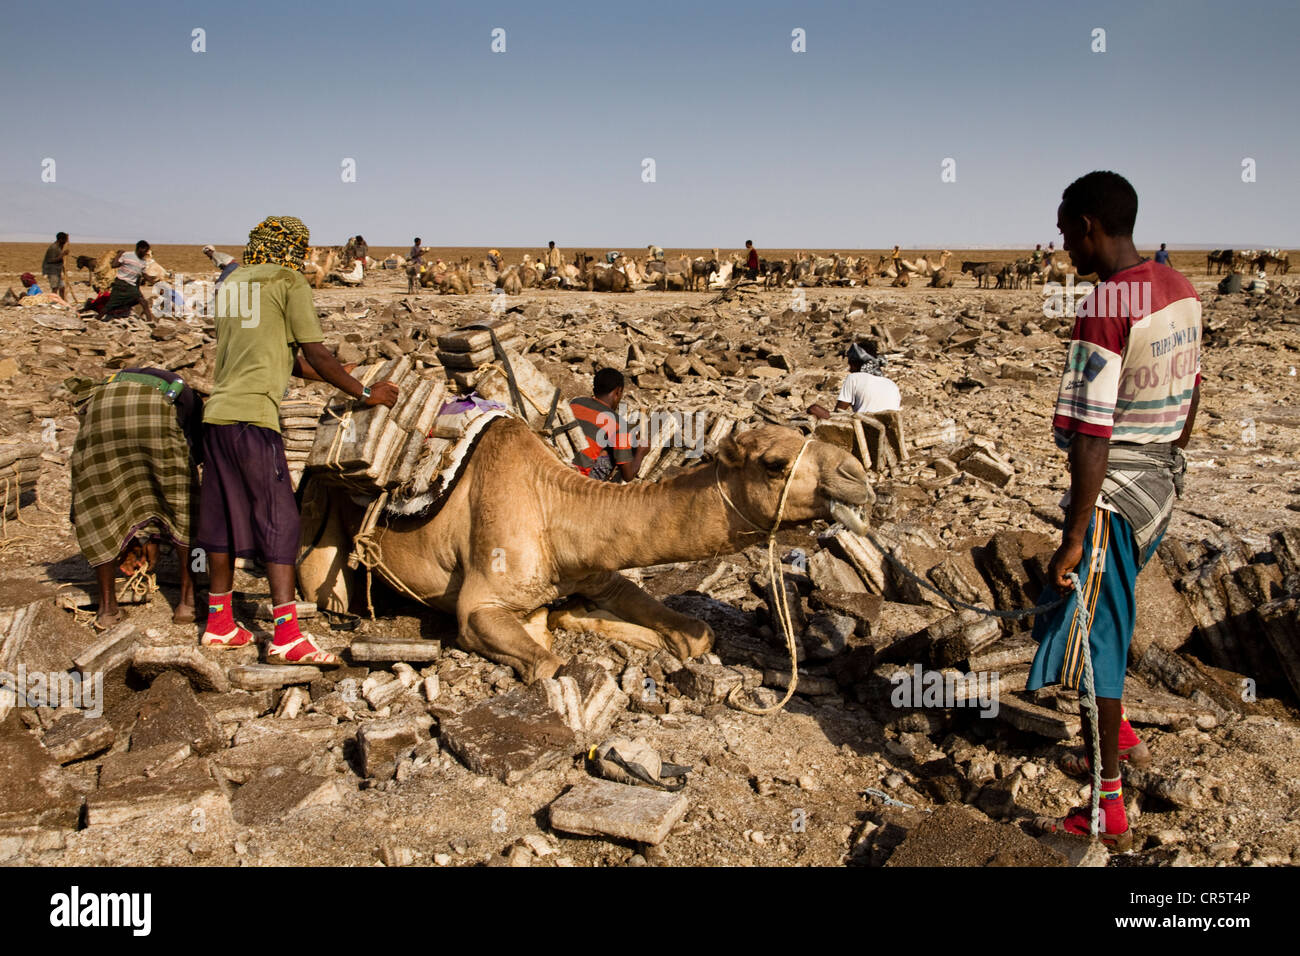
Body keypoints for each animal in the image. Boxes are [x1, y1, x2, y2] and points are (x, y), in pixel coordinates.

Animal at [298, 419, 874, 681]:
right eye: (775, 464)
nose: (857, 475)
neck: (556, 509)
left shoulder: (595, 571)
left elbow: (694, 630)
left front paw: (663, 639)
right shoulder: (481, 604)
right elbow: (548, 661)